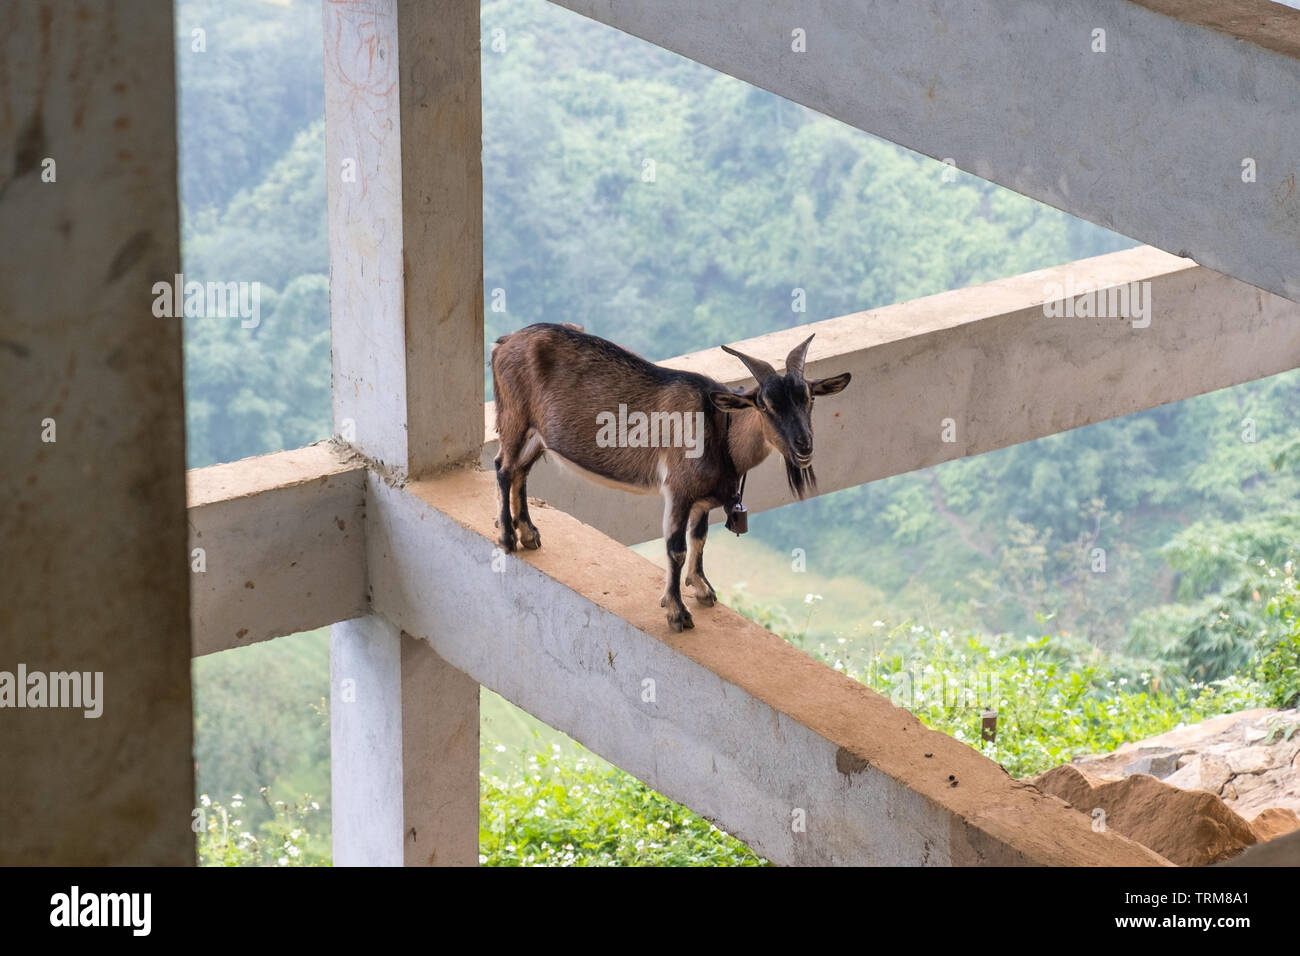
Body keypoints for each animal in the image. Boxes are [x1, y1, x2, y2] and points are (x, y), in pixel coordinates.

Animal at [490, 323, 852, 631]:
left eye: (810, 398)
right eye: (764, 405)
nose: (803, 445)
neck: (718, 429)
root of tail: (504, 343)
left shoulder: (703, 498)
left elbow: (700, 538)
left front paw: (702, 588)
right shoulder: (678, 490)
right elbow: (676, 548)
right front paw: (677, 612)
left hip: (539, 433)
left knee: (521, 469)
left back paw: (529, 533)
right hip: (514, 415)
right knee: (504, 469)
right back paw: (508, 538)